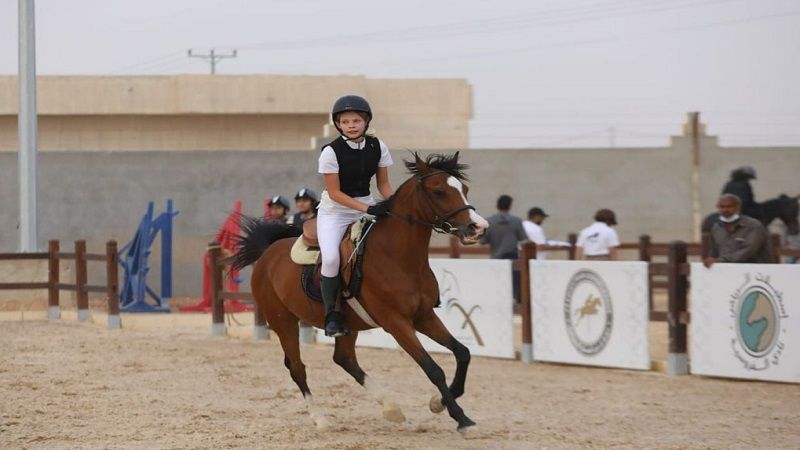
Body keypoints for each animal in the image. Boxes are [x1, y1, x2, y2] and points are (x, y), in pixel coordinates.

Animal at [231, 152, 489, 434]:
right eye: (439, 191)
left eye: (464, 189)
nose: (477, 227)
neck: (399, 257)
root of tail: (269, 252)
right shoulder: (396, 323)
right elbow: (433, 369)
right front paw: (460, 417)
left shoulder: (424, 316)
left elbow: (463, 353)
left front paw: (439, 403)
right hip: (283, 322)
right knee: (297, 367)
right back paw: (321, 418)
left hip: (348, 324)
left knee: (344, 358)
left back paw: (391, 408)